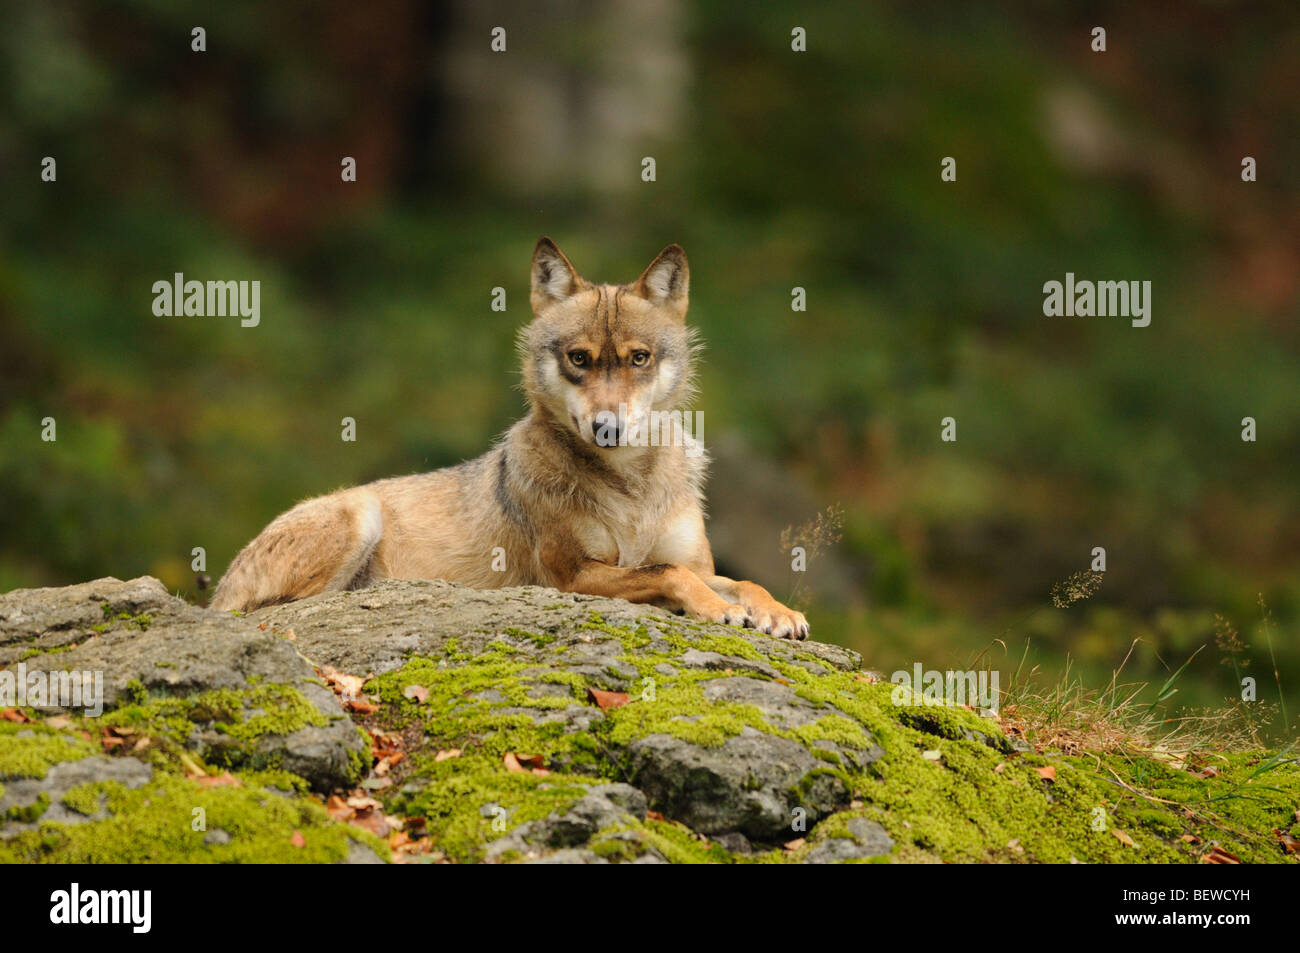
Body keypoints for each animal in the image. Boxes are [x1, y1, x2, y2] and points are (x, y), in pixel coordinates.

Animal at [210, 238, 809, 639]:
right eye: (578, 359)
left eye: (639, 358)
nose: (608, 427)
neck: (631, 488)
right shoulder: (572, 576)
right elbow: (671, 573)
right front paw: (717, 609)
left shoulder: (695, 562)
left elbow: (737, 580)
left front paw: (779, 612)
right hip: (360, 516)